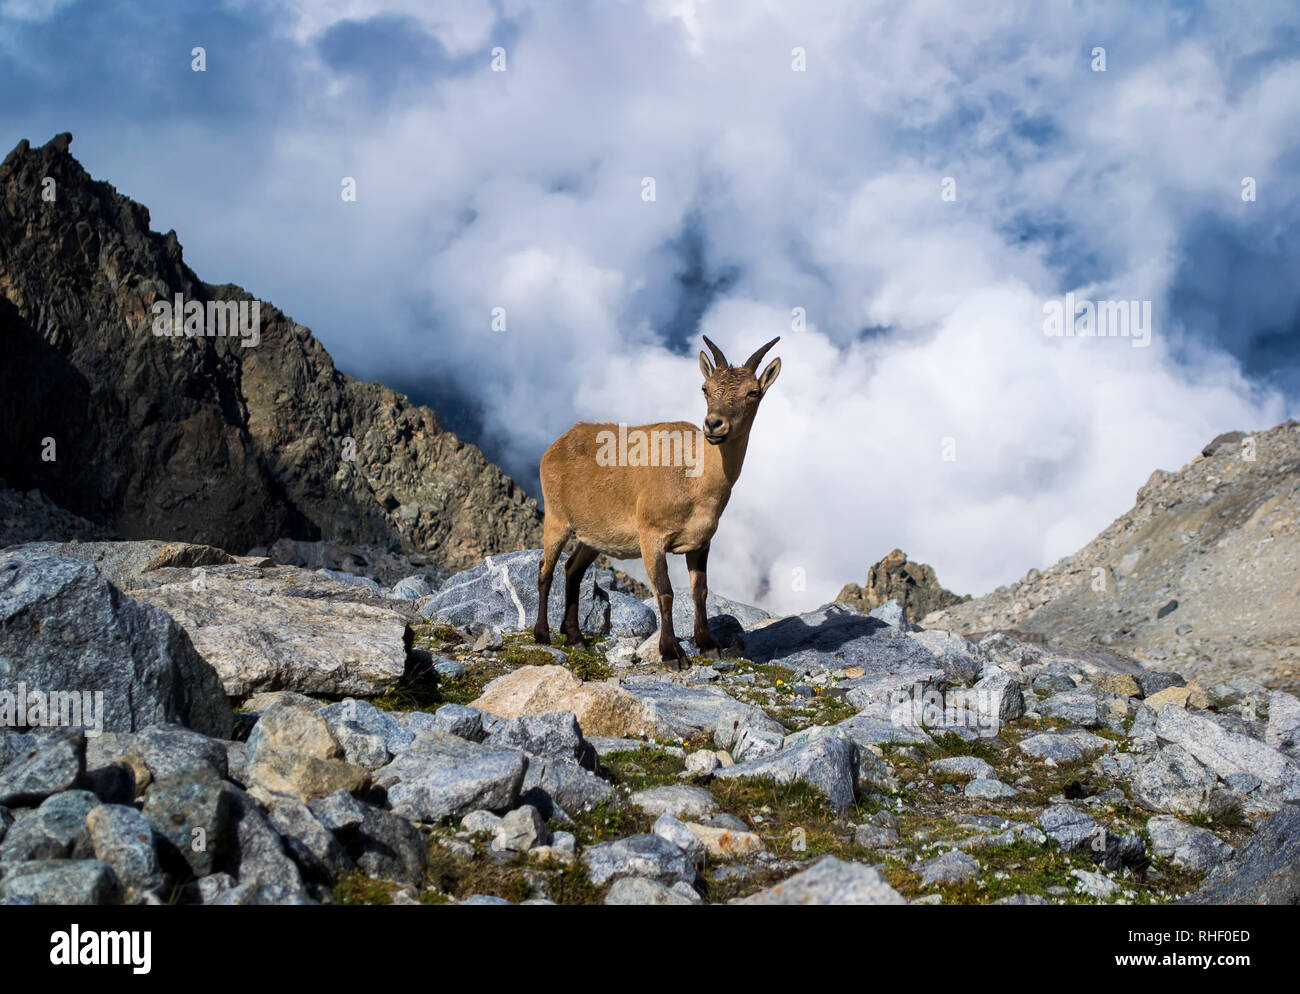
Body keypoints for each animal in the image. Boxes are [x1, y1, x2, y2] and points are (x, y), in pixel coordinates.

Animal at [533, 335, 782, 668]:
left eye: (752, 392)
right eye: (705, 388)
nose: (714, 425)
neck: (694, 478)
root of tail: (557, 443)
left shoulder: (701, 541)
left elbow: (700, 590)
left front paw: (708, 644)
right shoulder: (651, 536)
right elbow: (665, 592)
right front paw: (672, 652)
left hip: (593, 534)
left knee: (572, 568)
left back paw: (575, 638)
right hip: (557, 517)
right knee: (545, 569)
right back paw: (542, 634)